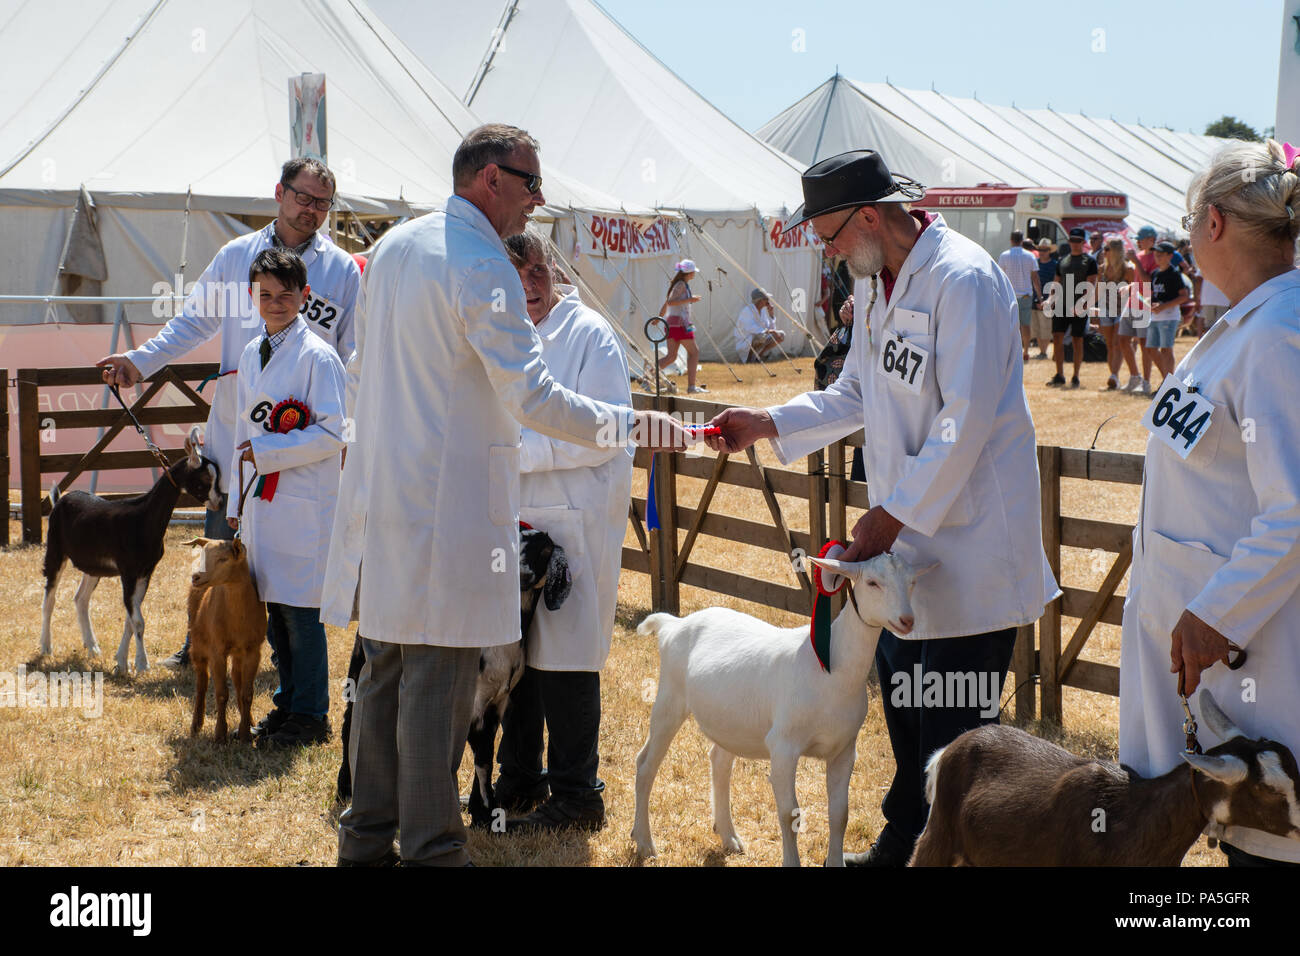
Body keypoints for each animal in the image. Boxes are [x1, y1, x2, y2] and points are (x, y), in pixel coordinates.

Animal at [39, 426, 220, 674]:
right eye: (204, 479)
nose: (219, 502)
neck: (142, 518)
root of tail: (59, 500)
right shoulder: (128, 572)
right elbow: (137, 621)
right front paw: (142, 664)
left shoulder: (145, 573)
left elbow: (130, 619)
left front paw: (122, 662)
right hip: (56, 552)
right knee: (50, 598)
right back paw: (46, 647)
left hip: (93, 567)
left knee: (81, 599)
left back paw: (92, 647)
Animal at [184, 537, 267, 743]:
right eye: (203, 555)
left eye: (223, 559)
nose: (196, 577)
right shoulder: (217, 651)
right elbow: (221, 693)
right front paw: (220, 734)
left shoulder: (253, 650)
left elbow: (247, 693)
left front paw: (245, 734)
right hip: (197, 644)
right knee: (202, 683)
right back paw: (196, 724)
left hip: (238, 652)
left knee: (237, 680)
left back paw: (250, 721)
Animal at [334, 526, 571, 816]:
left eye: (545, 550)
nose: (523, 574)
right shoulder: (472, 702)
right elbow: (474, 757)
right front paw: (482, 811)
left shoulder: (497, 703)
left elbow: (485, 757)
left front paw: (483, 810)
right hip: (359, 669)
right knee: (350, 723)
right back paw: (346, 788)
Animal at [631, 552, 932, 867]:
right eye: (873, 583)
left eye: (912, 582)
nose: (907, 620)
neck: (833, 669)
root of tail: (672, 624)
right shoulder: (783, 746)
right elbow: (789, 815)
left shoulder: (844, 748)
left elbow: (840, 814)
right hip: (669, 698)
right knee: (645, 764)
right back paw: (645, 843)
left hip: (731, 718)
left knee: (719, 761)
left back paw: (729, 836)